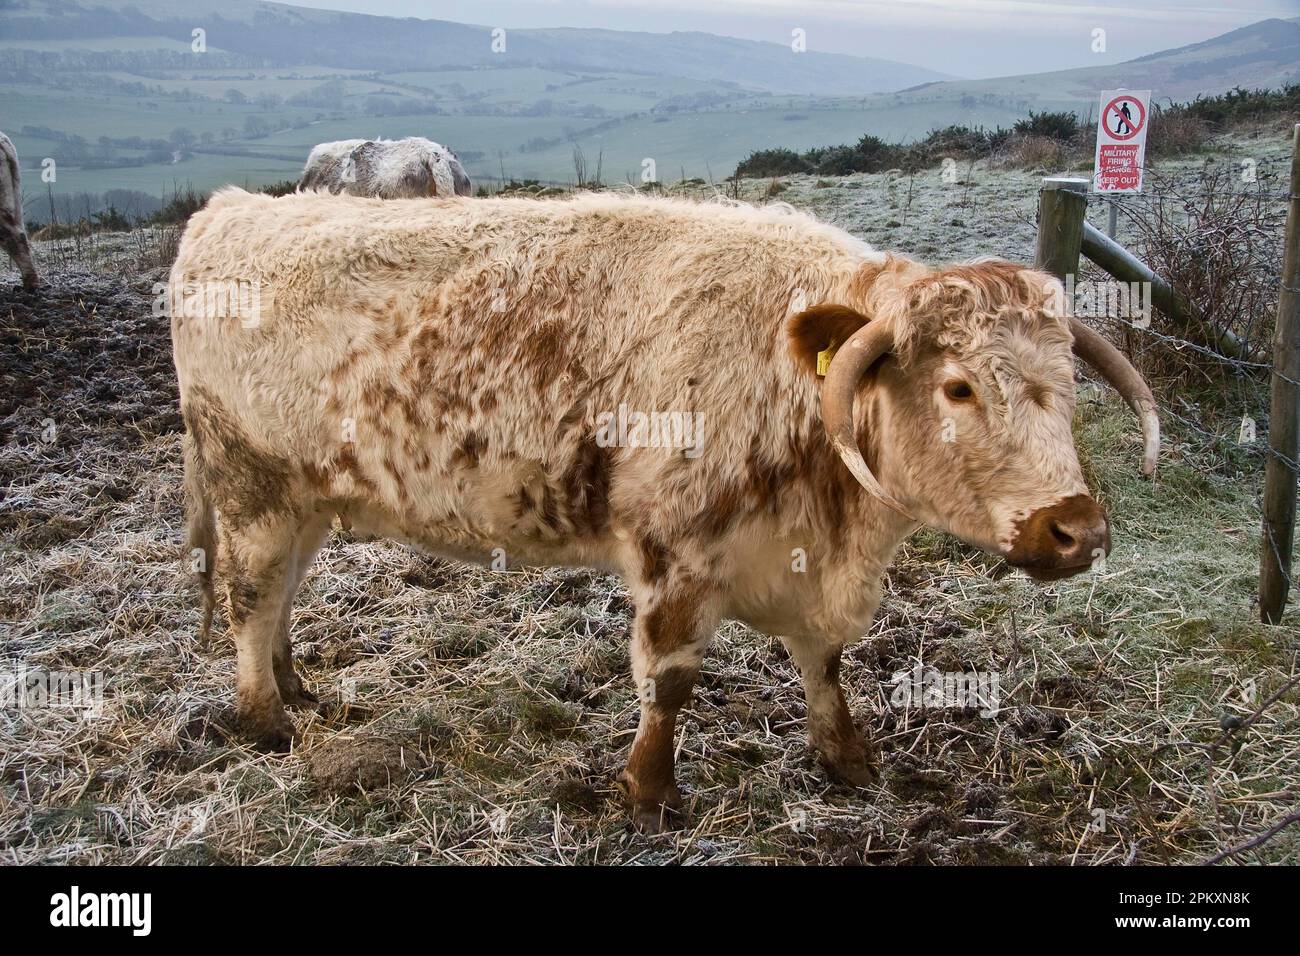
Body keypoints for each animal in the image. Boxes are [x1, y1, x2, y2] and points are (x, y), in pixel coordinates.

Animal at [170, 188, 1159, 832]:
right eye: (958, 387)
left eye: (1068, 385)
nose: (1075, 529)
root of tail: (231, 208)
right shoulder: (674, 557)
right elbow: (671, 681)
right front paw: (647, 793)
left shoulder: (802, 564)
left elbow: (825, 663)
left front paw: (846, 759)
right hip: (251, 486)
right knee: (251, 600)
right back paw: (264, 719)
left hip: (306, 499)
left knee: (283, 595)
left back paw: (299, 688)